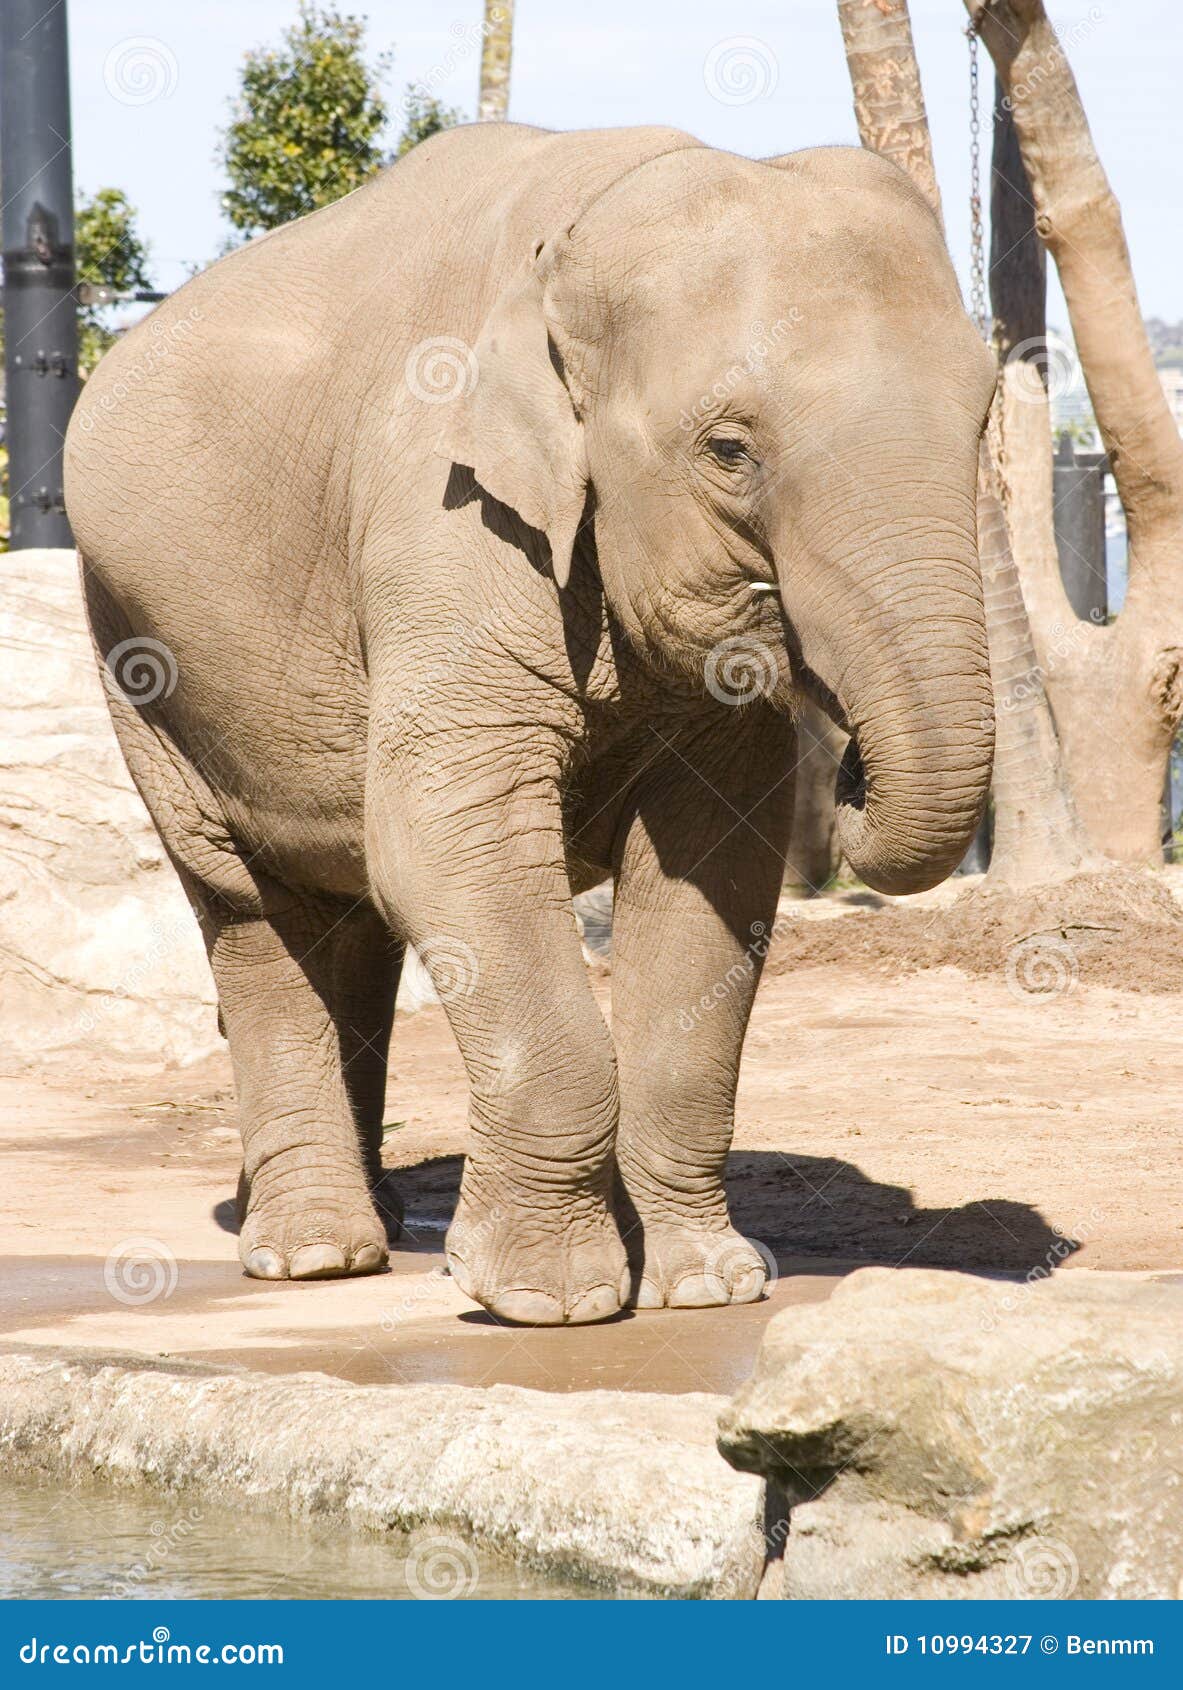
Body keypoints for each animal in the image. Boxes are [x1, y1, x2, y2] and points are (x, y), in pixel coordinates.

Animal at [64, 122, 995, 1325]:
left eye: (984, 417)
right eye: (729, 450)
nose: (853, 775)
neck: (584, 234)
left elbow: (715, 869)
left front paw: (709, 1286)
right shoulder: (440, 515)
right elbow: (445, 840)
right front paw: (547, 1301)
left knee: (349, 916)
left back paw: (373, 1223)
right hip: (140, 658)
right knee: (251, 908)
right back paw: (316, 1253)